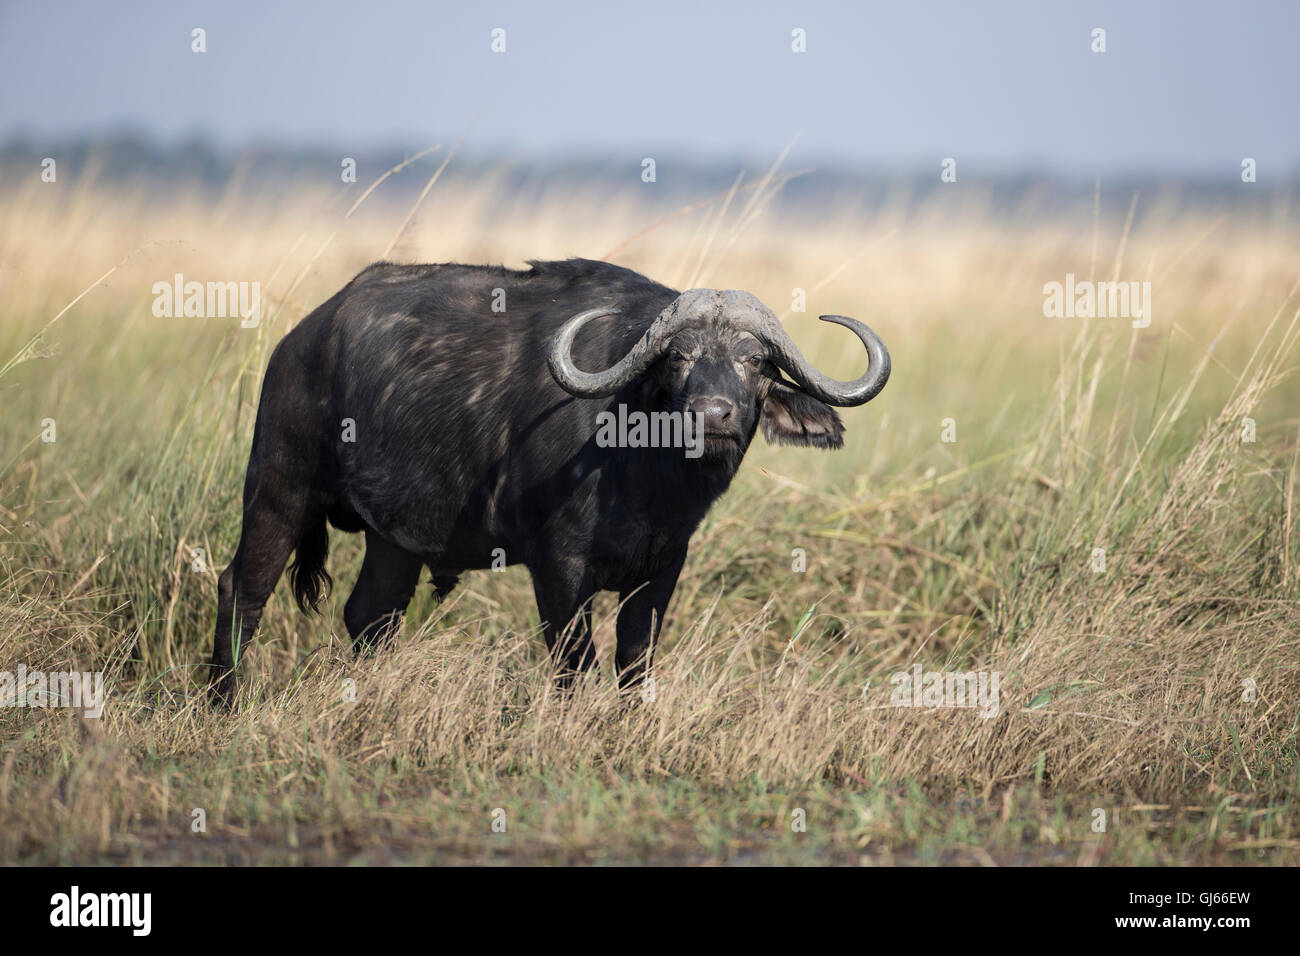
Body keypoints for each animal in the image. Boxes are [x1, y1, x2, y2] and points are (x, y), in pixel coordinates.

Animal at [207, 258, 889, 703]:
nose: (712, 413)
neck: (647, 476)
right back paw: (223, 701)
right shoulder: (557, 566)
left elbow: (633, 659)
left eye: (754, 362)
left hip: (395, 540)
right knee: (242, 589)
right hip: (277, 488)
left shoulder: (664, 566)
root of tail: (301, 339)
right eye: (678, 357)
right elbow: (574, 660)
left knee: (370, 616)